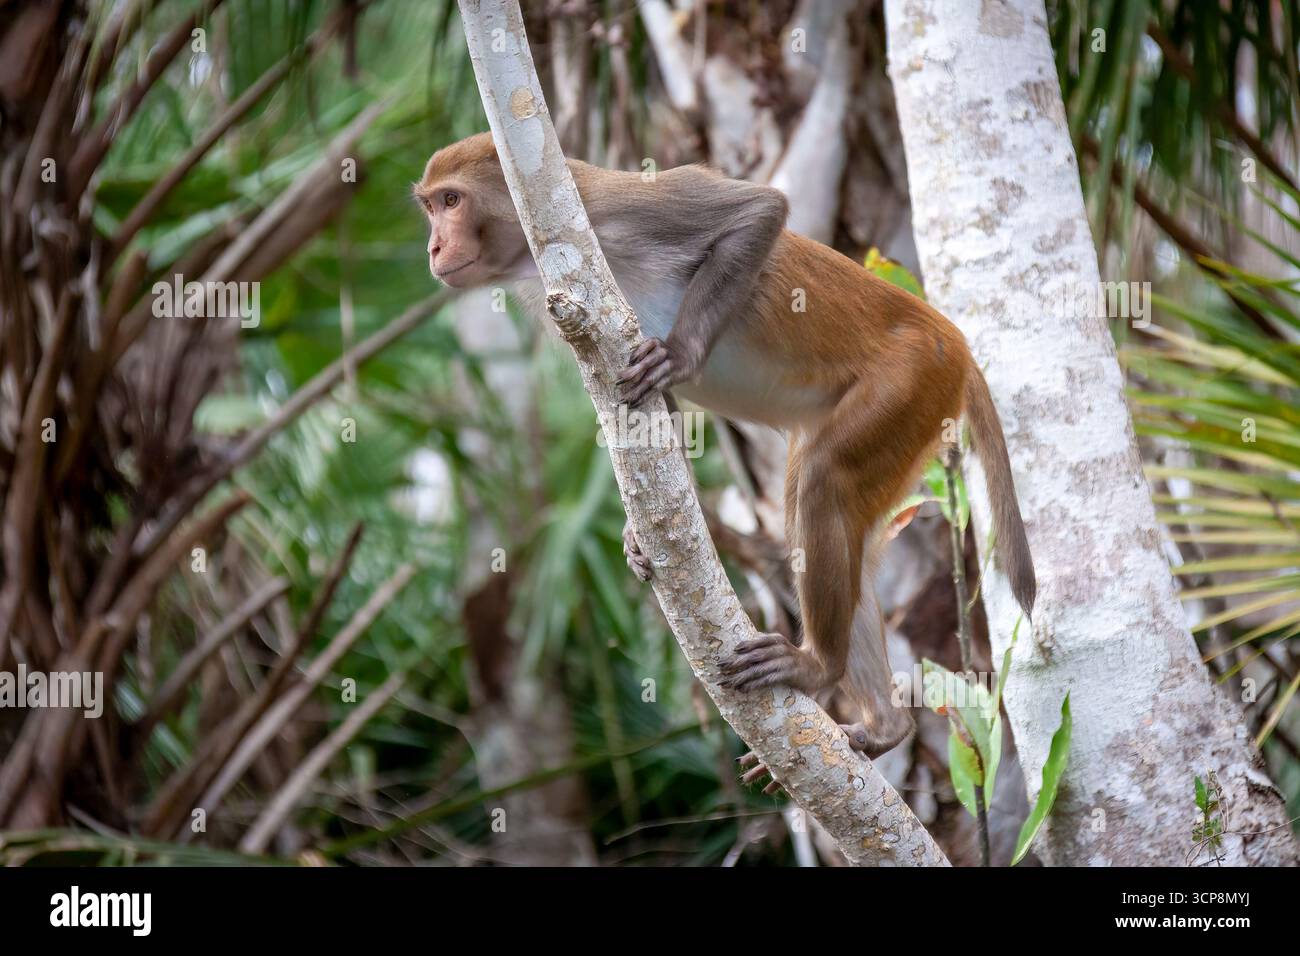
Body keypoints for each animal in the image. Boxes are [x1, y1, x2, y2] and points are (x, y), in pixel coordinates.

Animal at [416, 133, 1036, 763]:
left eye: (451, 200)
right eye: (430, 207)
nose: (434, 247)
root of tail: (954, 340)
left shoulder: (615, 211)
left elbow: (756, 211)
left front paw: (682, 355)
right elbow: (655, 420)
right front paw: (638, 537)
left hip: (908, 383)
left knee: (824, 484)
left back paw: (816, 668)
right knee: (836, 521)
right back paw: (885, 726)